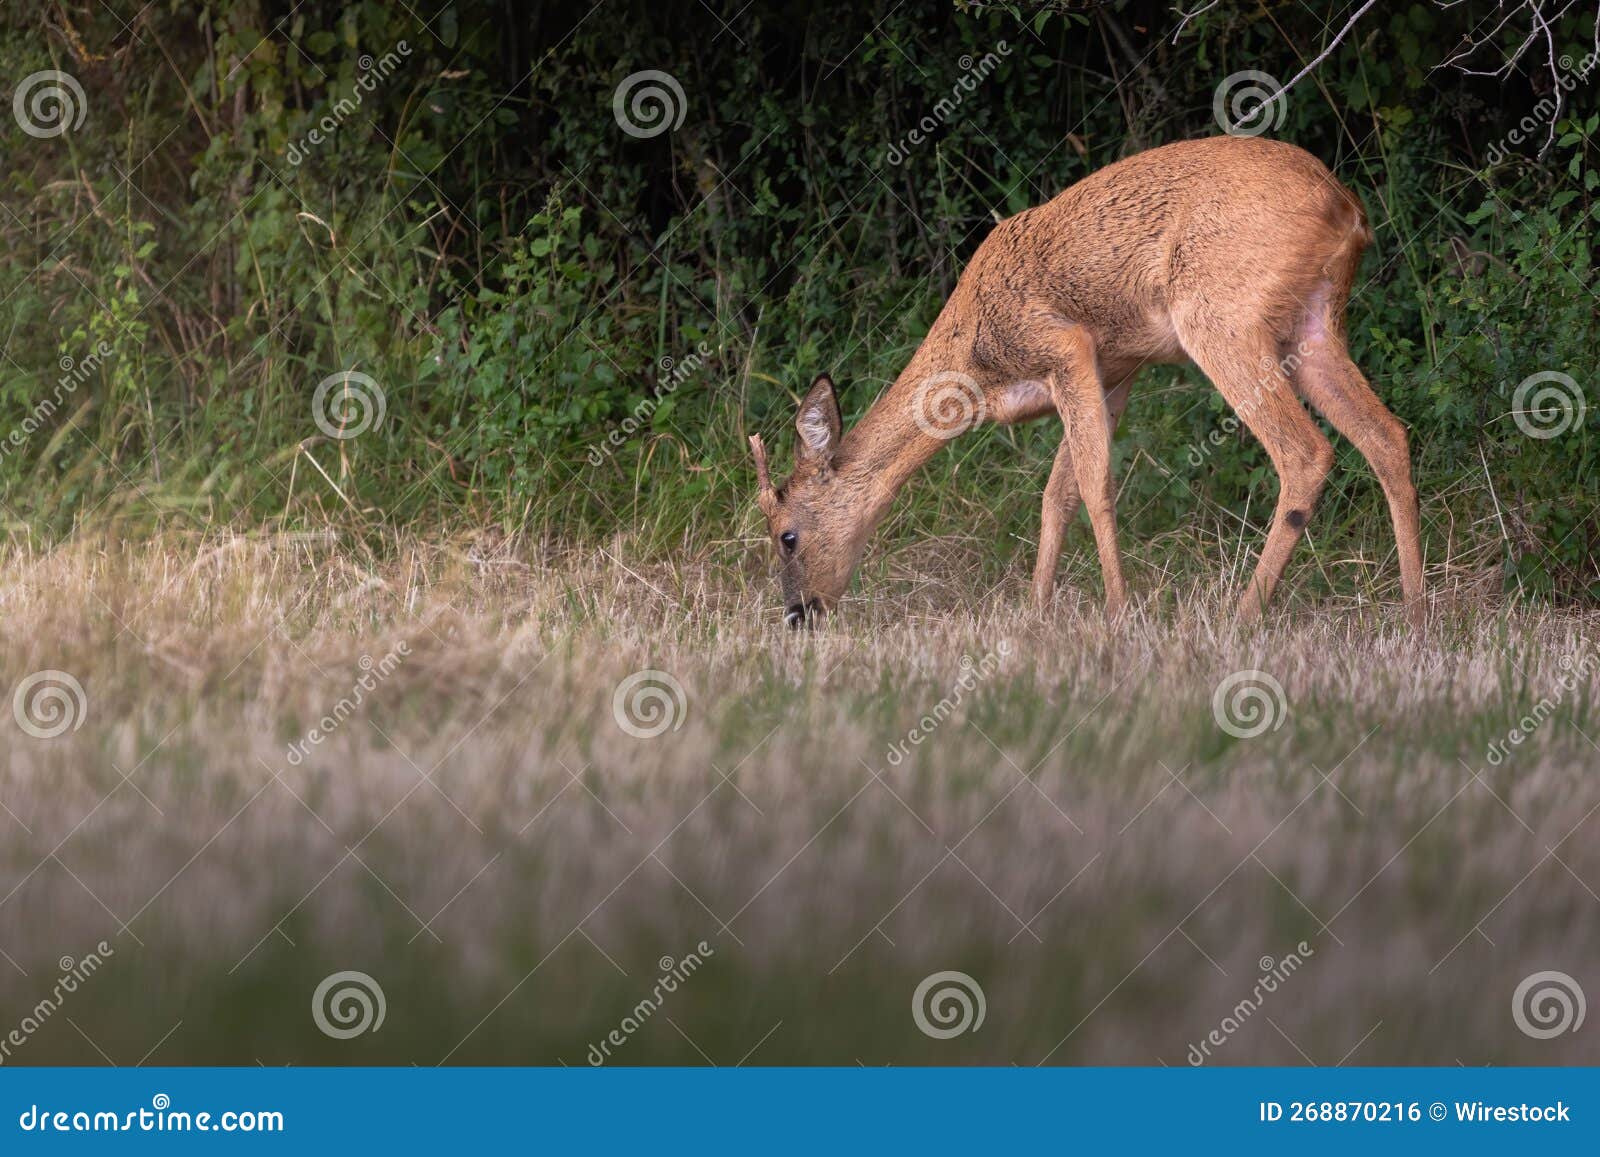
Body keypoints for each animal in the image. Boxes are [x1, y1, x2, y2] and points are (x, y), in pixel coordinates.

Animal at [748, 134, 1425, 631]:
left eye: (786, 535)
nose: (796, 615)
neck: (976, 372)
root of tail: (1348, 209)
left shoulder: (1064, 345)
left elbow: (1095, 484)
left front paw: (1119, 615)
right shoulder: (1115, 369)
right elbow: (1057, 494)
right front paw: (1035, 614)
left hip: (1220, 317)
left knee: (1305, 451)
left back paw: (1242, 617)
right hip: (1313, 326)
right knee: (1387, 435)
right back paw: (1415, 613)